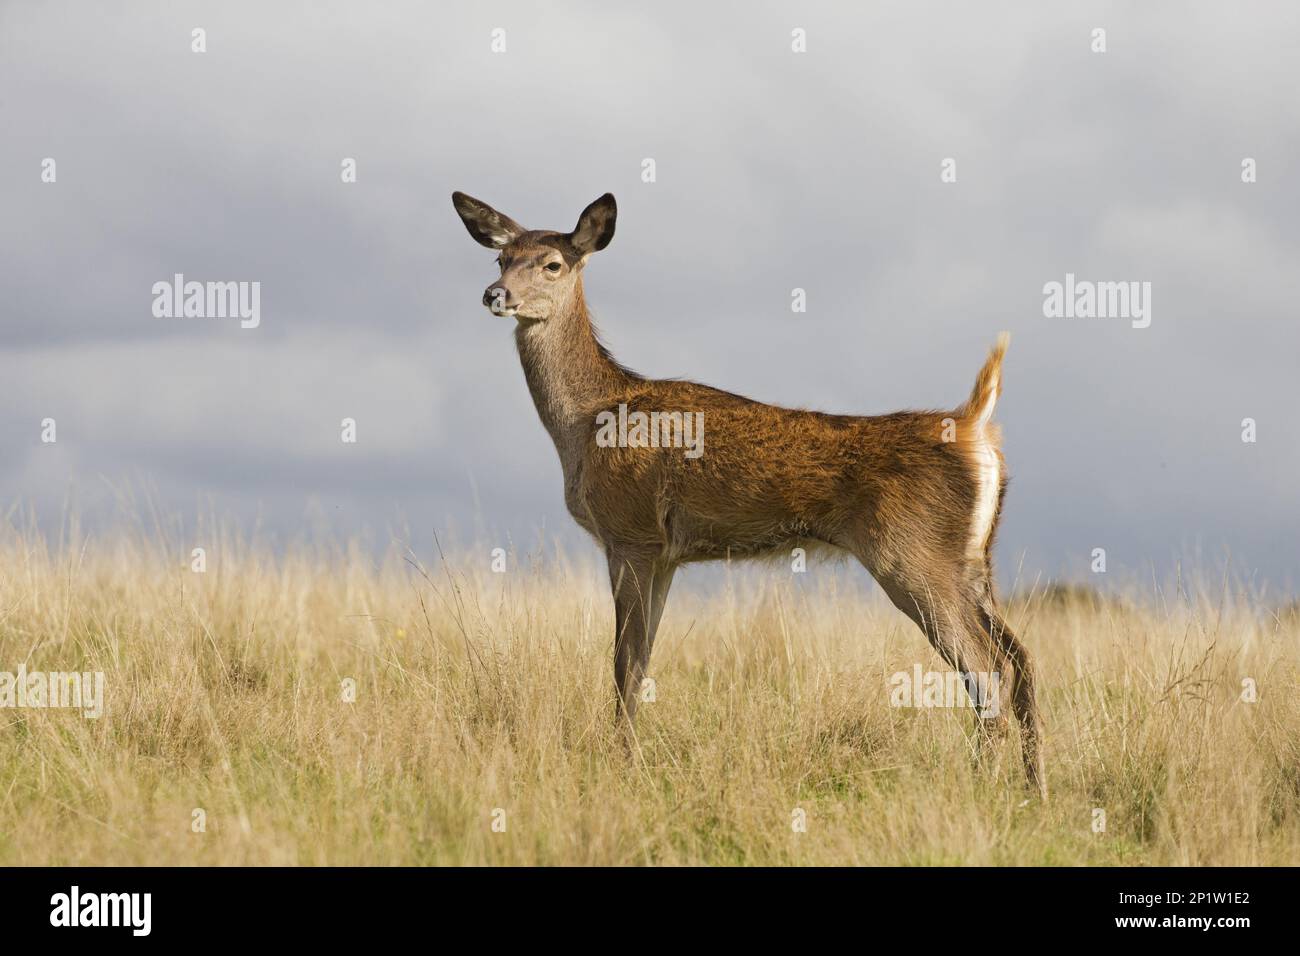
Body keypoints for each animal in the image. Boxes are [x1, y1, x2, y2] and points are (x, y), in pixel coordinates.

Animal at [452, 191, 1046, 798]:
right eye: (501, 258)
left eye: (553, 264)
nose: (495, 294)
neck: (587, 423)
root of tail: (975, 426)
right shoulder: (666, 554)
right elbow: (643, 661)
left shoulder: (631, 532)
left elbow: (624, 662)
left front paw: (622, 765)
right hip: (973, 560)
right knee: (1021, 660)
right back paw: (1034, 787)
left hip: (911, 551)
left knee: (987, 668)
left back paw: (985, 783)